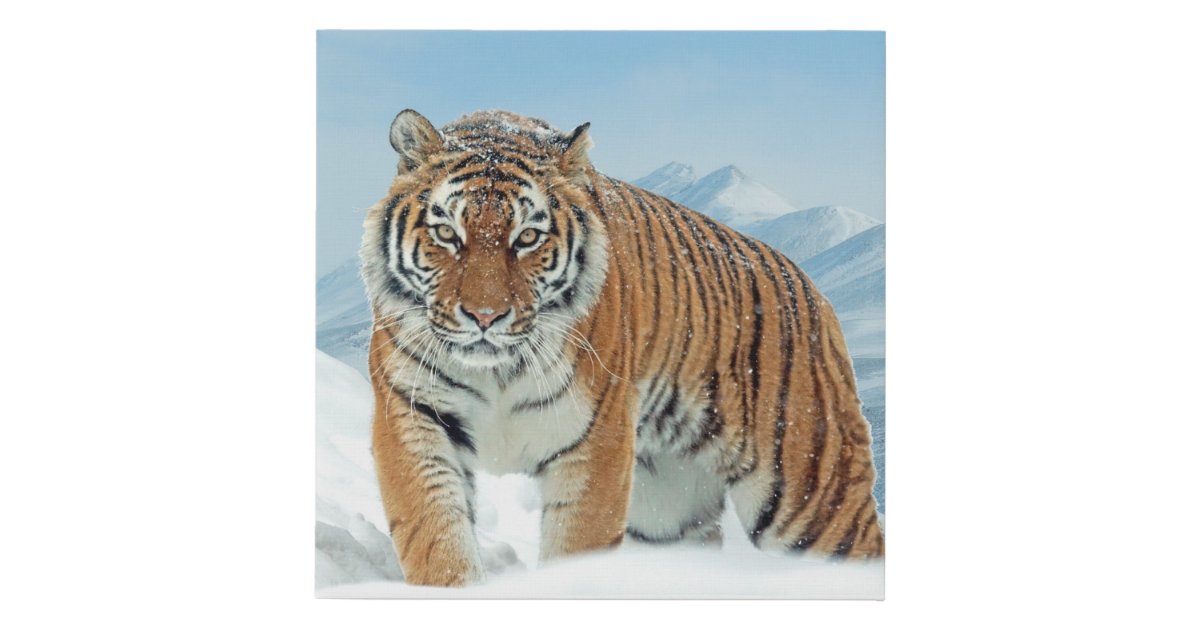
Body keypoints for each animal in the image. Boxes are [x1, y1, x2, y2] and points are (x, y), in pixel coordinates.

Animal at [361, 109, 884, 587]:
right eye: (447, 233)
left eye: (527, 237)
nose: (485, 317)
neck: (498, 372)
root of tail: (812, 289)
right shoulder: (413, 414)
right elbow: (435, 535)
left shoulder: (595, 439)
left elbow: (576, 546)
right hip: (667, 509)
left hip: (812, 496)